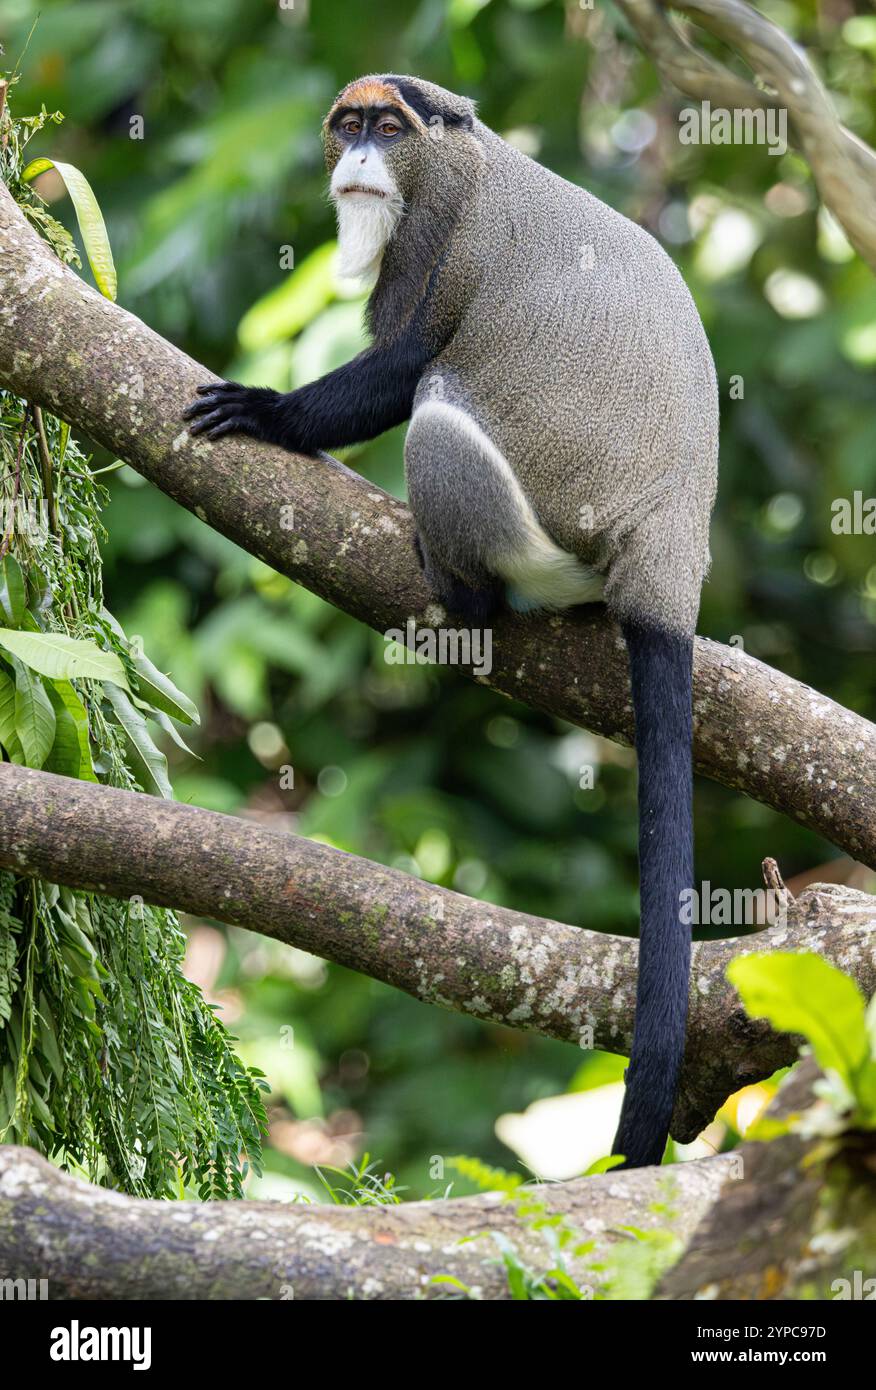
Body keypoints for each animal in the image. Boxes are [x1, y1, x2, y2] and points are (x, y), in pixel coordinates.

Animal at [184, 75, 719, 1169]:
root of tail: (668, 559)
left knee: (435, 403)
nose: (359, 156)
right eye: (349, 125)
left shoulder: (442, 246)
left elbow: (405, 364)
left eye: (391, 128)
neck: (461, 163)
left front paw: (268, 410)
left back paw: (463, 590)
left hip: (539, 524)